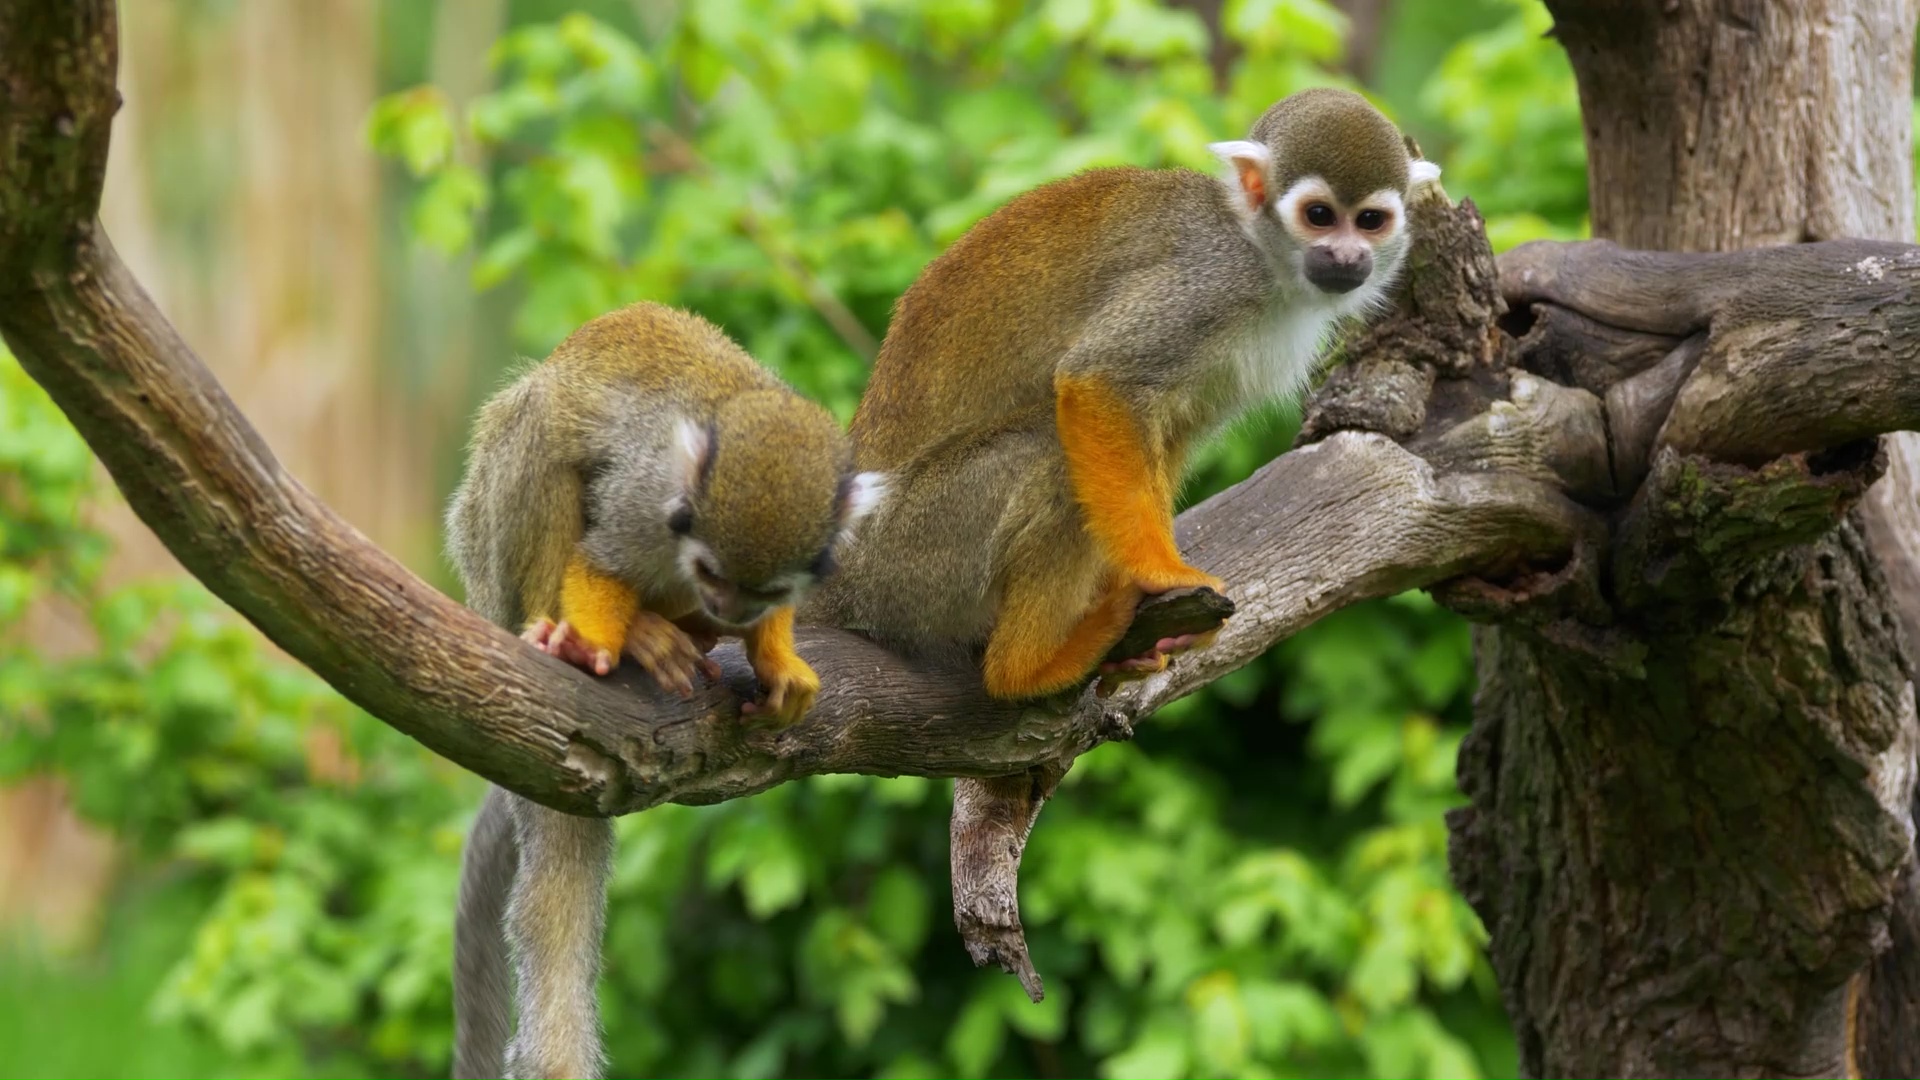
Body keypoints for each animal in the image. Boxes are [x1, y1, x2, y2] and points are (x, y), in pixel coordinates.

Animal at [445, 302, 884, 1080]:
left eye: (763, 591)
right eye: (713, 571)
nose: (727, 607)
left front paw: (775, 656)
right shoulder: (647, 501)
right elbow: (600, 559)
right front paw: (594, 641)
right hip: (482, 557)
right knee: (540, 427)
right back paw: (590, 633)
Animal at [806, 87, 1439, 699]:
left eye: (1371, 220)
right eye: (1319, 215)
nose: (1348, 256)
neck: (1264, 257)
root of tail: (838, 585)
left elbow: (1172, 433)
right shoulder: (1204, 283)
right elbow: (1098, 381)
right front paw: (1161, 571)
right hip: (911, 562)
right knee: (1050, 448)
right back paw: (1026, 669)